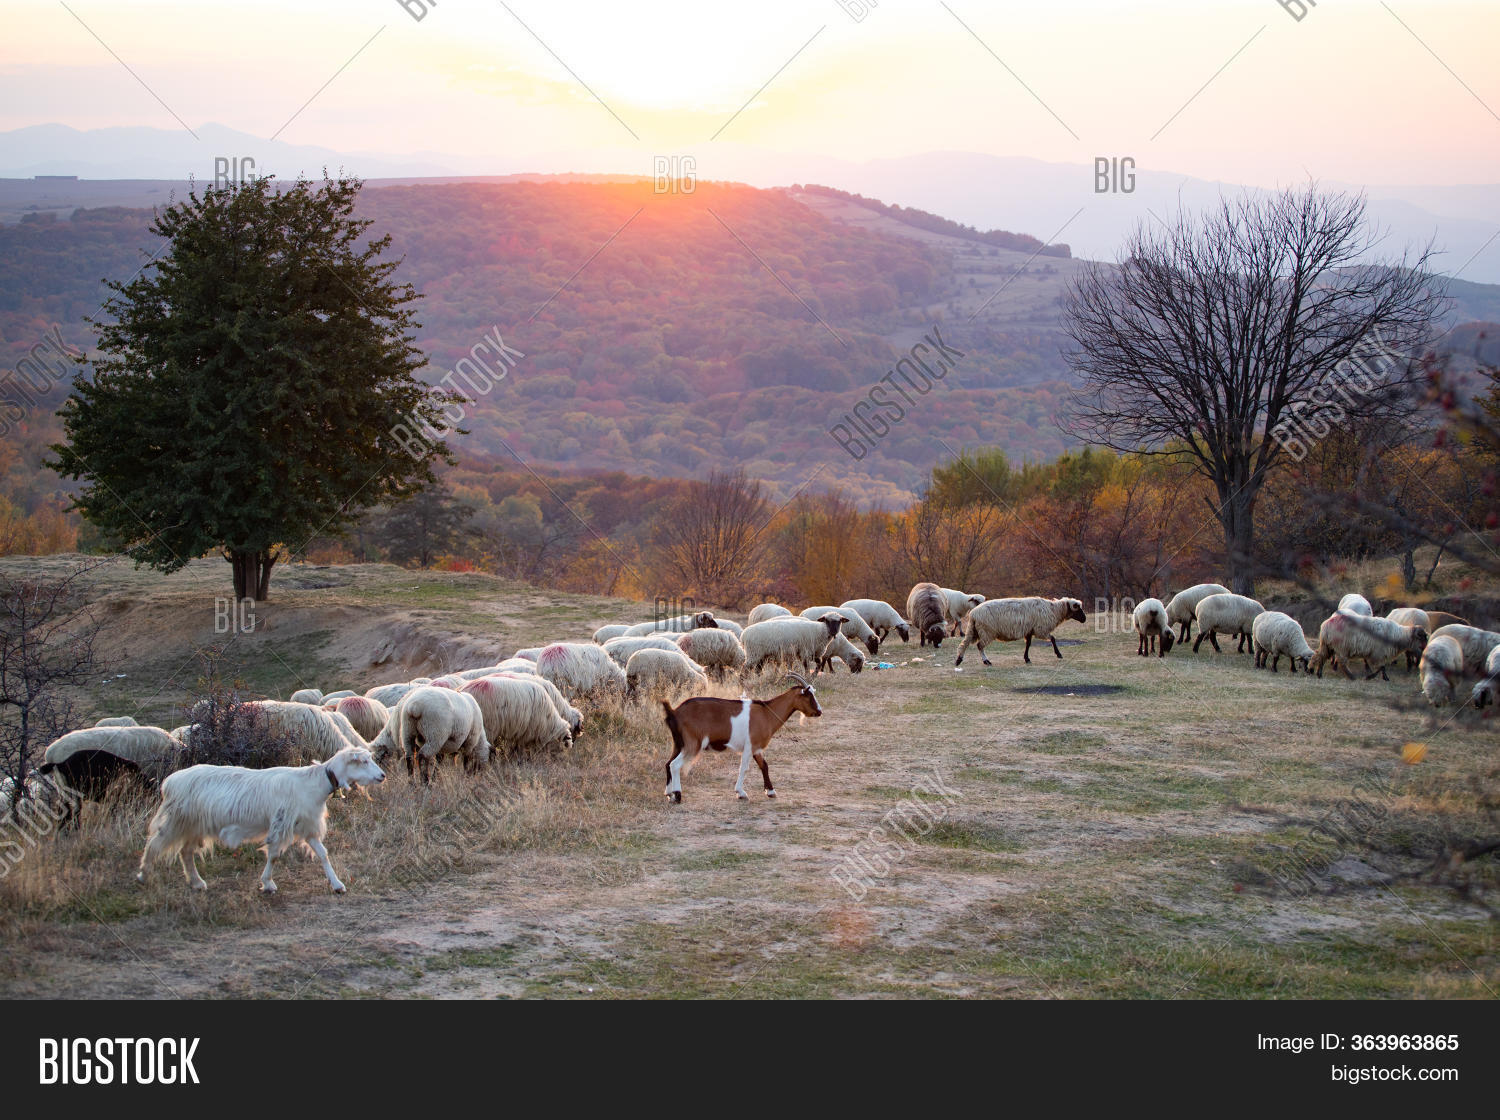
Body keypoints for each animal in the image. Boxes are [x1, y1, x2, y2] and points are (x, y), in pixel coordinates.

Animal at [136, 745, 386, 893]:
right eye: (363, 762)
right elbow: (274, 855)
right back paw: (144, 874)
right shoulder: (281, 823)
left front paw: (337, 884)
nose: (382, 776)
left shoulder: (307, 826)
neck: (313, 783)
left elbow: (323, 854)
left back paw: (197, 883)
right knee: (155, 845)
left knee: (185, 852)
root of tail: (170, 781)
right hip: (177, 820)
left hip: (194, 825)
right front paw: (268, 884)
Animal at [661, 674, 821, 802]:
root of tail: (674, 712)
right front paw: (741, 793)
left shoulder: (757, 748)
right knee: (675, 764)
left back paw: (669, 794)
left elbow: (764, 766)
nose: (819, 711)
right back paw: (678, 795)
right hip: (693, 744)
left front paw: (770, 791)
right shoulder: (750, 746)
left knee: (668, 763)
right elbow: (744, 768)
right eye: (809, 696)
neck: (767, 714)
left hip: (679, 744)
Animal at [954, 597, 1087, 666]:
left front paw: (1027, 658)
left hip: (973, 630)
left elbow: (1028, 644)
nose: (1084, 619)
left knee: (964, 644)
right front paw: (1059, 654)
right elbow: (1053, 638)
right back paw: (986, 661)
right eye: (1078, 609)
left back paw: (959, 660)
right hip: (987, 631)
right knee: (980, 645)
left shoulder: (1030, 630)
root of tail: (973, 614)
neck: (1054, 610)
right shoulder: (1041, 629)